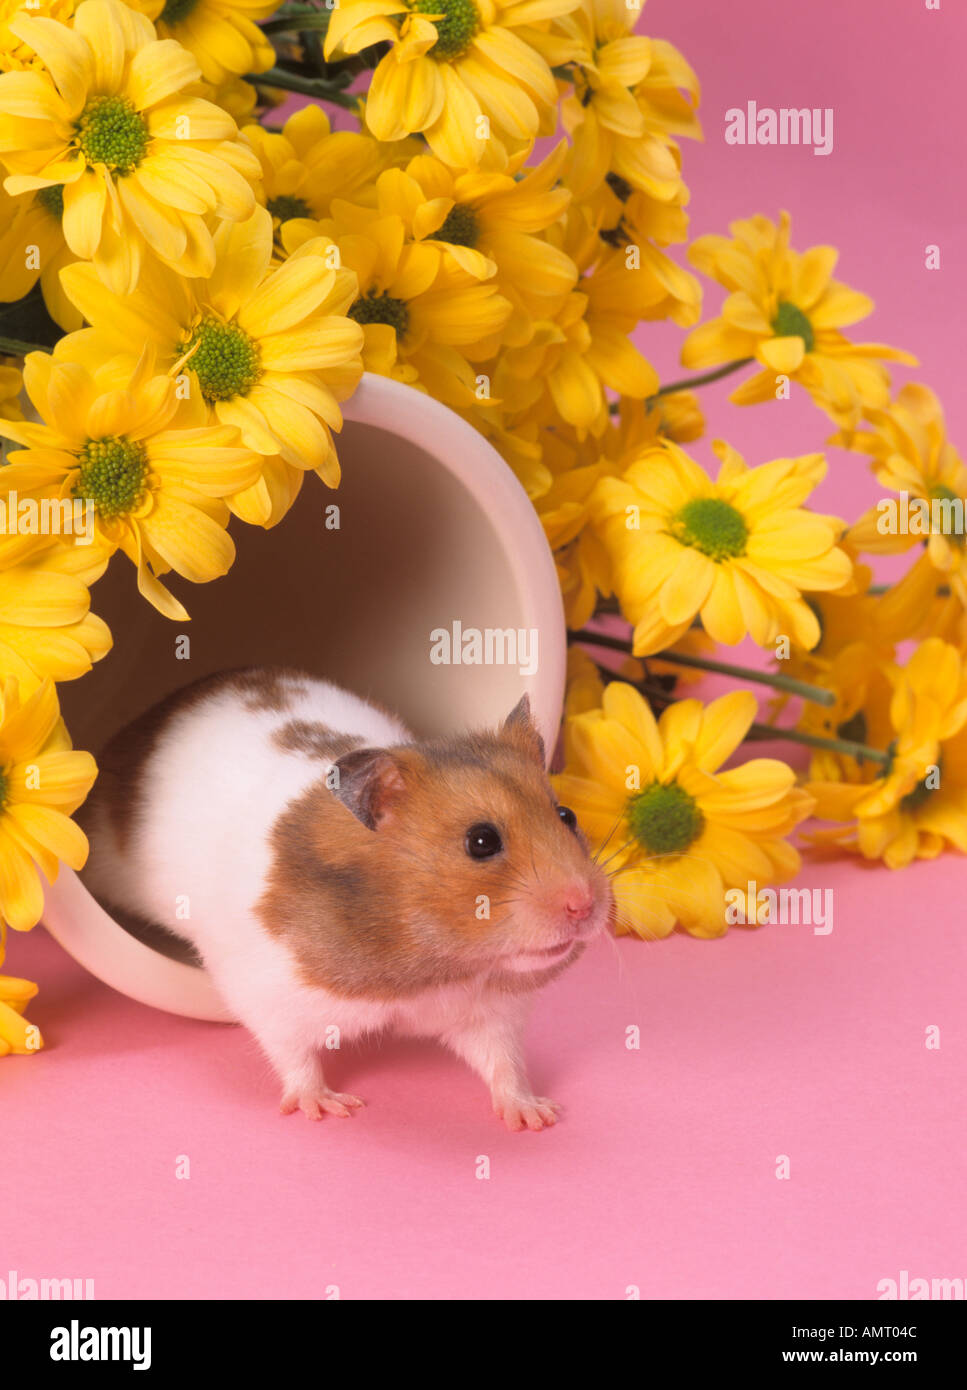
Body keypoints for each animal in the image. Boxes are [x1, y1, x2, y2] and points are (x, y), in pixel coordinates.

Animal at [81, 668, 613, 1131]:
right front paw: (330, 1108)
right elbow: (293, 1054)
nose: (585, 906)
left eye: (566, 815)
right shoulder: (270, 995)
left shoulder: (488, 1012)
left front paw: (537, 1117)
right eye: (481, 842)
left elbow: (503, 1062)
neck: (441, 966)